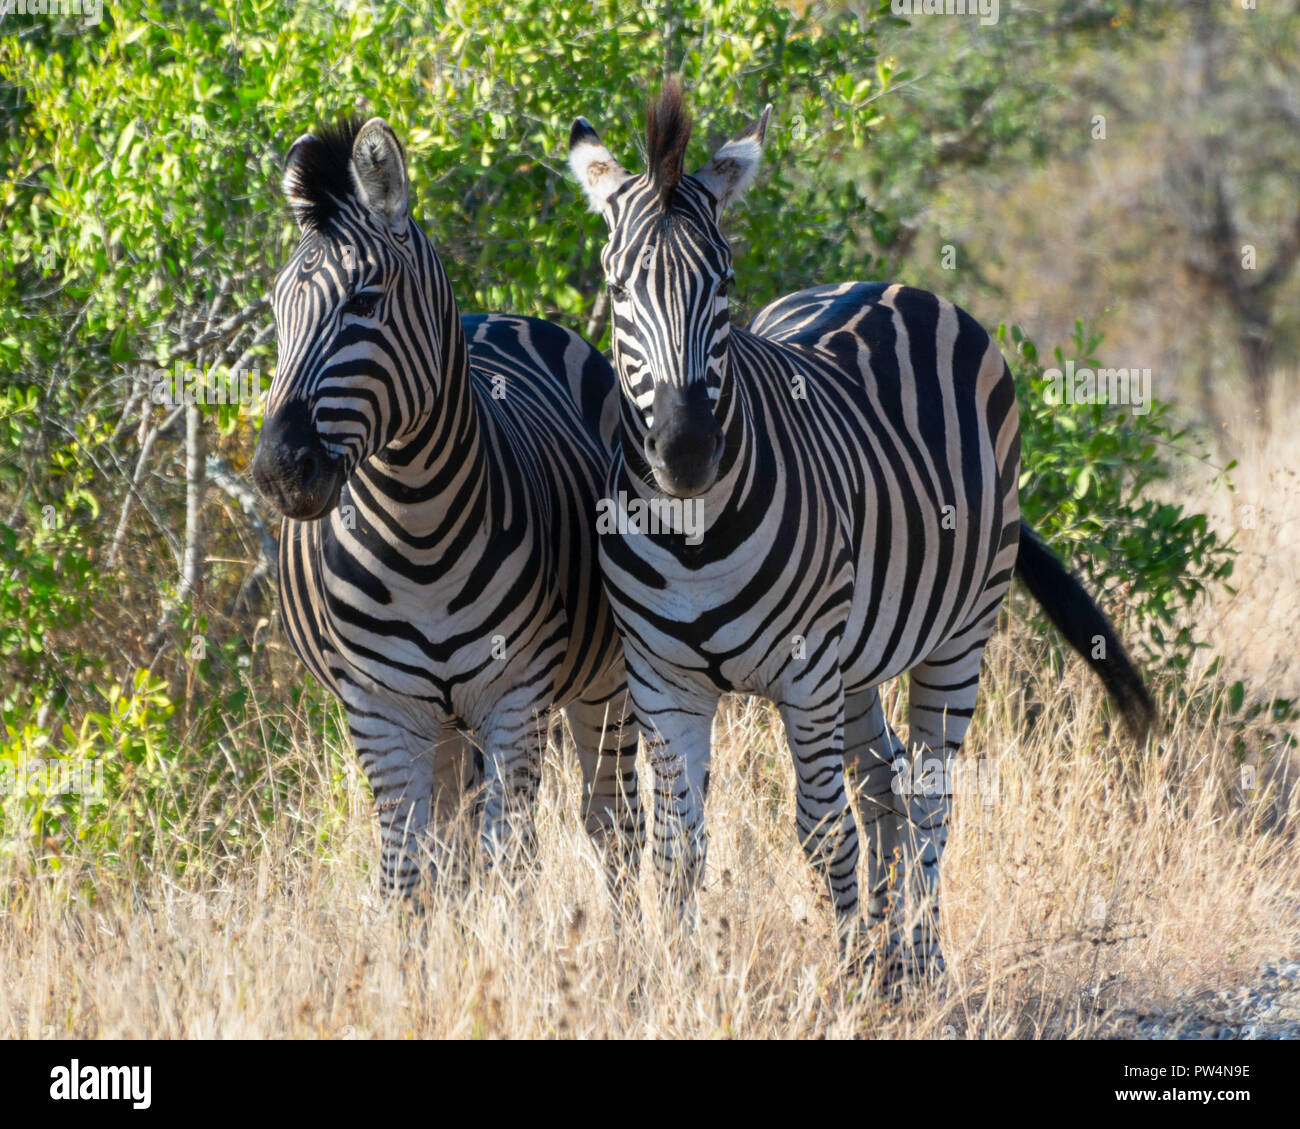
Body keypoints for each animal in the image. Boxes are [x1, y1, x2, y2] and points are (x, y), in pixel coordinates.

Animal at [252, 116, 642, 900]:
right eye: (278, 311)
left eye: (364, 301)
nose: (279, 470)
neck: (416, 537)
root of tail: (502, 315)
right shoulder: (379, 714)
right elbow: (408, 877)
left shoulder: (516, 698)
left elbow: (511, 863)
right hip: (443, 728)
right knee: (454, 851)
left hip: (600, 680)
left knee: (613, 823)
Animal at [567, 82, 1154, 983]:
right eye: (618, 287)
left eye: (722, 282)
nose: (686, 451)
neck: (694, 538)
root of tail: (886, 282)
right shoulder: (663, 680)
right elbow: (676, 843)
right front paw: (679, 976)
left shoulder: (806, 670)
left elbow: (819, 825)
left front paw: (847, 981)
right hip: (858, 654)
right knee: (882, 778)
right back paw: (889, 950)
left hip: (959, 629)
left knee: (928, 791)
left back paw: (920, 954)